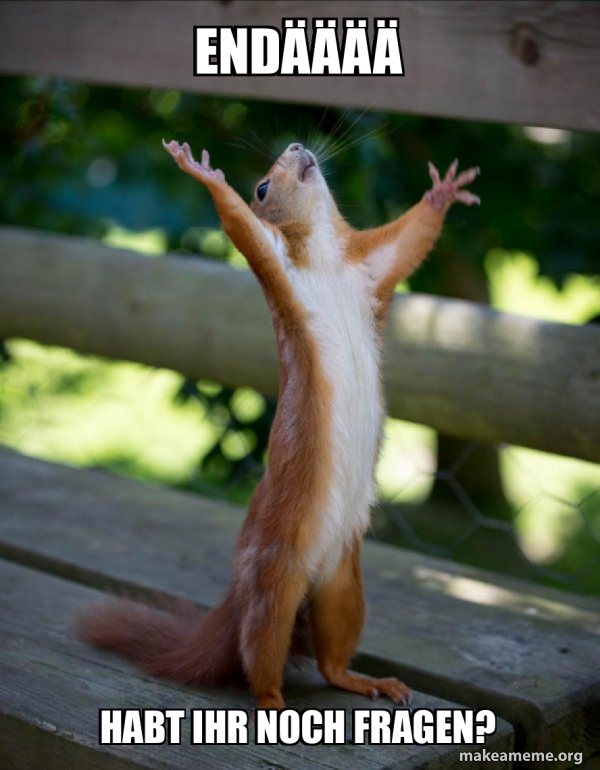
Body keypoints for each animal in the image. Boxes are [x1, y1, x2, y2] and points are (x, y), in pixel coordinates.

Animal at [78, 138, 479, 711]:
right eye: (262, 187)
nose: (296, 146)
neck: (326, 258)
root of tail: (238, 596)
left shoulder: (372, 267)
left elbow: (410, 240)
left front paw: (442, 192)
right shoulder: (276, 264)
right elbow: (240, 225)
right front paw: (204, 173)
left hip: (344, 586)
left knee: (332, 659)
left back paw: (366, 681)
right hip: (274, 583)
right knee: (258, 654)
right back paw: (273, 702)